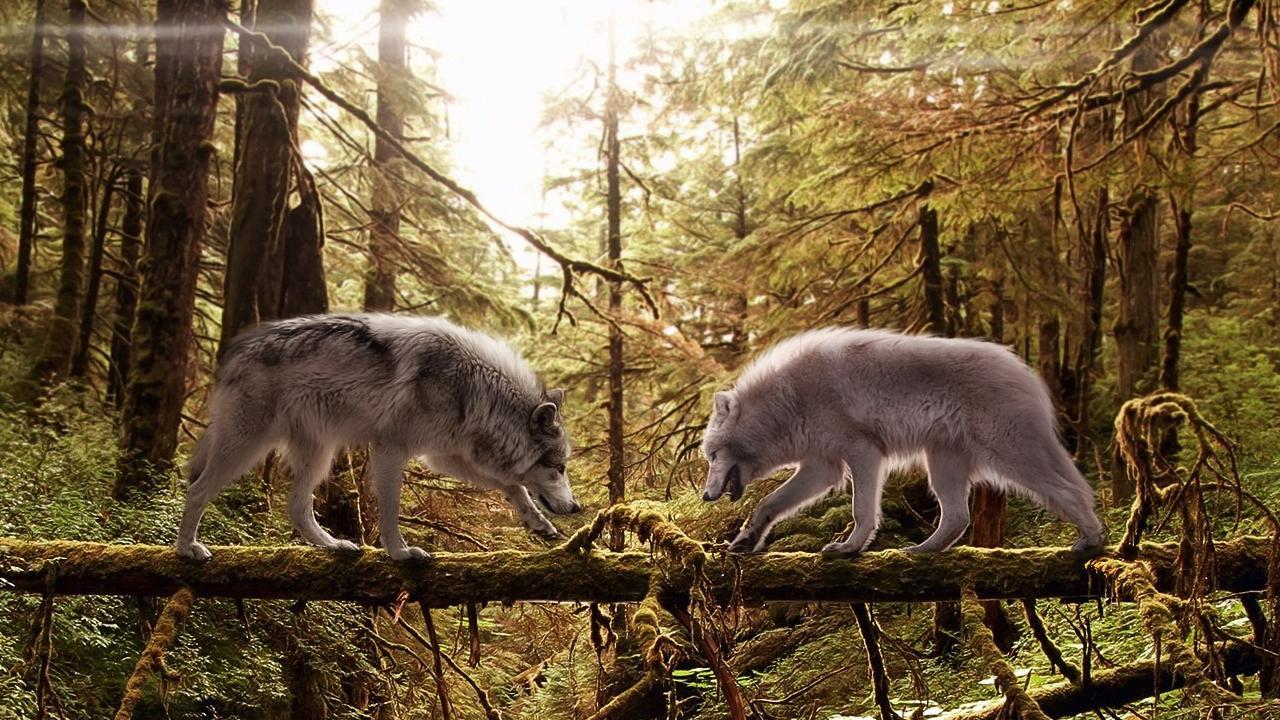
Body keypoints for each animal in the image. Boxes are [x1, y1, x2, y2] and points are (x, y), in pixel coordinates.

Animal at [175, 314, 582, 563]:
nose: (577, 507)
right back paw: (186, 548)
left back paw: (334, 545)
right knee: (196, 490)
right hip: (245, 448)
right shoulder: (391, 450)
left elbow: (513, 485)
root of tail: (235, 351)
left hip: (318, 454)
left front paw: (538, 524)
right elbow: (389, 511)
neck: (473, 388)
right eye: (560, 467)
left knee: (297, 507)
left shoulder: (446, 457)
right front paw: (400, 553)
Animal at [700, 328, 1105, 555]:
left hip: (1011, 456)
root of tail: (1026, 372)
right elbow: (768, 504)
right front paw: (746, 541)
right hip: (942, 465)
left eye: (713, 455)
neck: (787, 400)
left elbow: (862, 512)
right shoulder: (822, 467)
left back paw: (1091, 539)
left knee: (1069, 491)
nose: (705, 495)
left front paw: (849, 548)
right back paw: (923, 550)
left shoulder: (863, 453)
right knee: (958, 517)